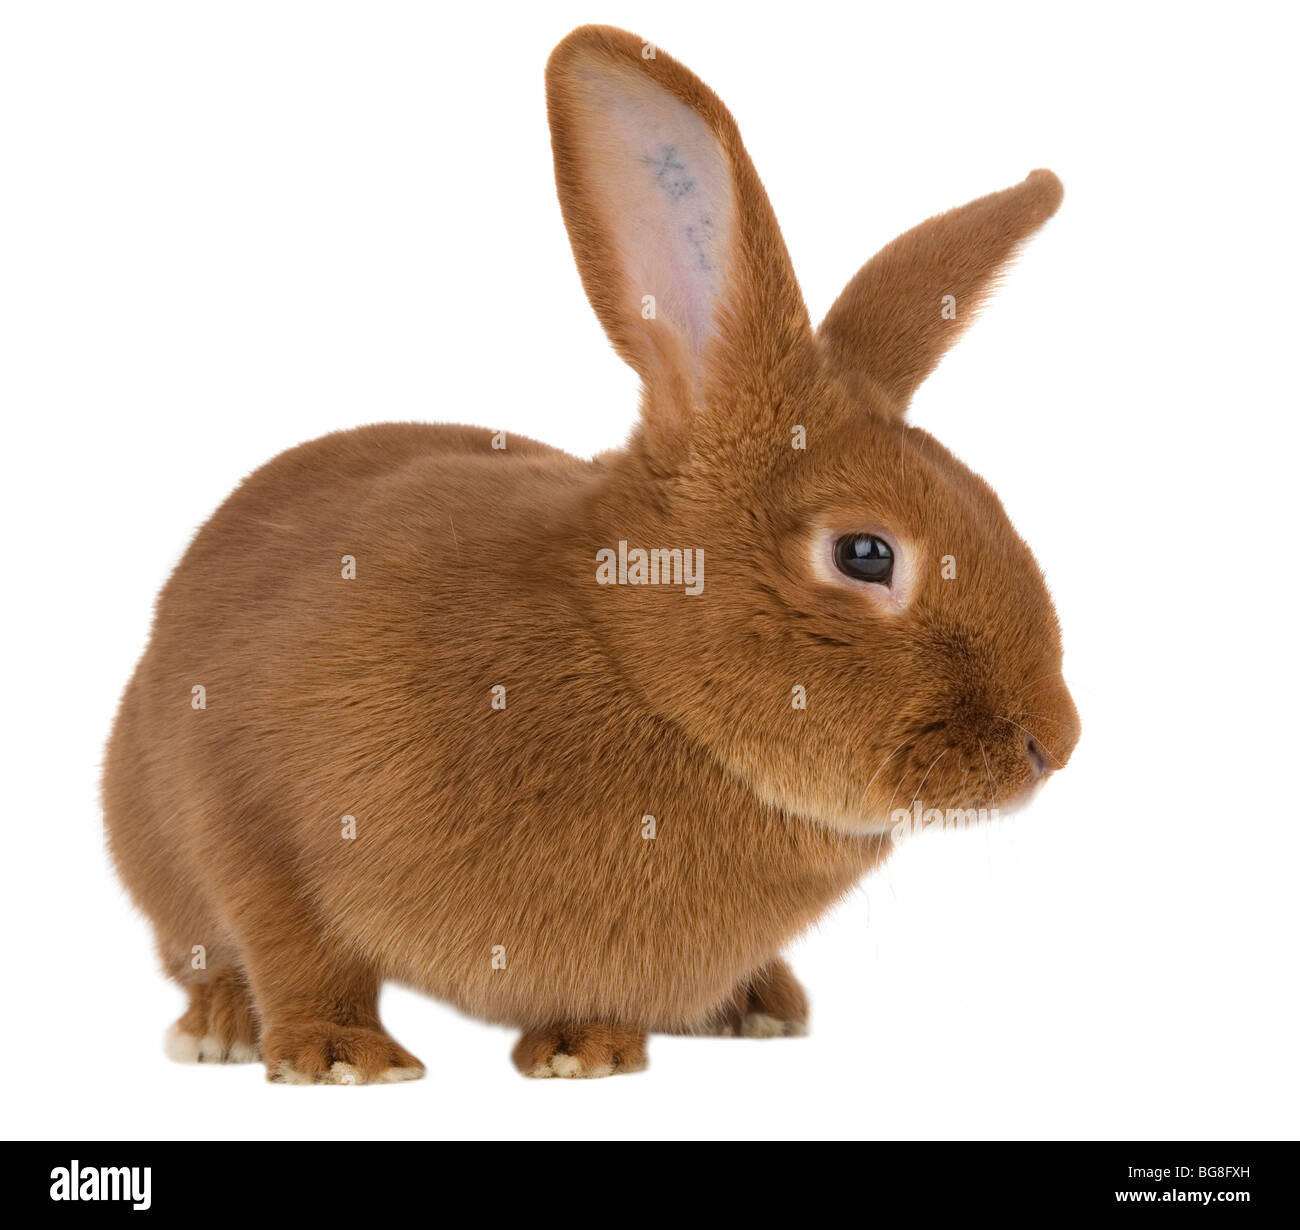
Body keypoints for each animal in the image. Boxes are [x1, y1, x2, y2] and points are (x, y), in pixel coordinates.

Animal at [103, 24, 1080, 1084]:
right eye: (865, 553)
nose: (1055, 743)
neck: (636, 666)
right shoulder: (247, 811)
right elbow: (294, 944)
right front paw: (340, 1059)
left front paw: (586, 1053)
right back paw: (219, 1028)